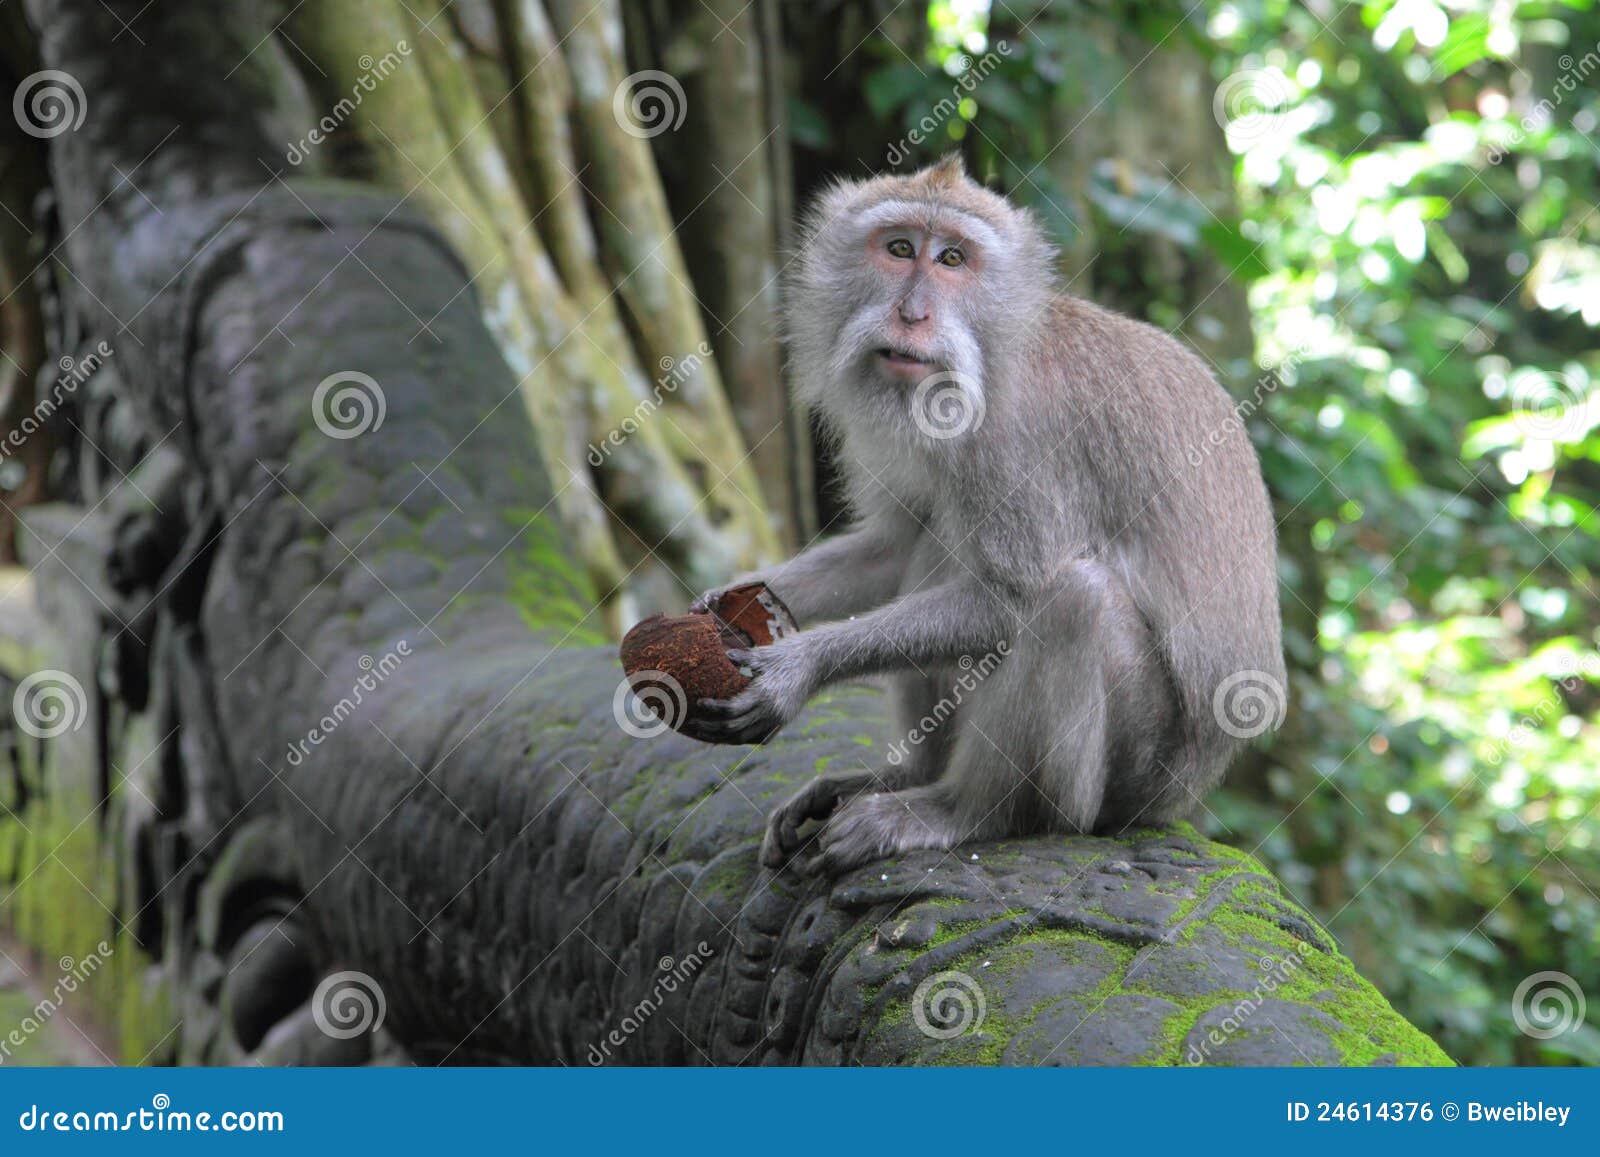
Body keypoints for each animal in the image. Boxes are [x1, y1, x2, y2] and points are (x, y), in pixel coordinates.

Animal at [679, 155, 1285, 876]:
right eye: (900, 249)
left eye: (953, 259)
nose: (911, 313)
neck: (990, 357)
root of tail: (1187, 791)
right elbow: (891, 545)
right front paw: (721, 603)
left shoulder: (1022, 436)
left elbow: (1011, 597)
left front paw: (797, 668)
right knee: (933, 542)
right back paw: (903, 776)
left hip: (1135, 776)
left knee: (1072, 600)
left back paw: (965, 810)